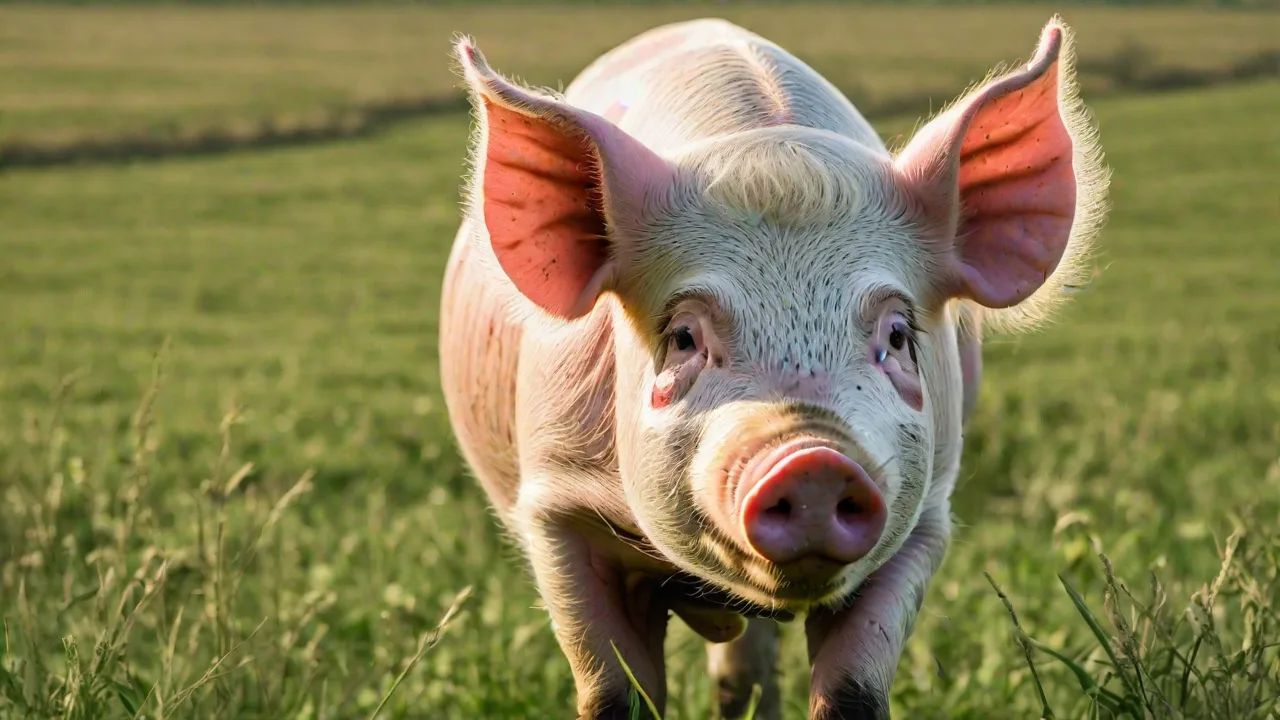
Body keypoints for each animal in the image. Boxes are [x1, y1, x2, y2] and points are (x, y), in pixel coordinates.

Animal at [439, 14, 1107, 720]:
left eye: (898, 336)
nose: (813, 459)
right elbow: (615, 690)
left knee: (747, 668)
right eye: (683, 337)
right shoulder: (556, 504)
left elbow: (852, 689)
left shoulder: (926, 518)